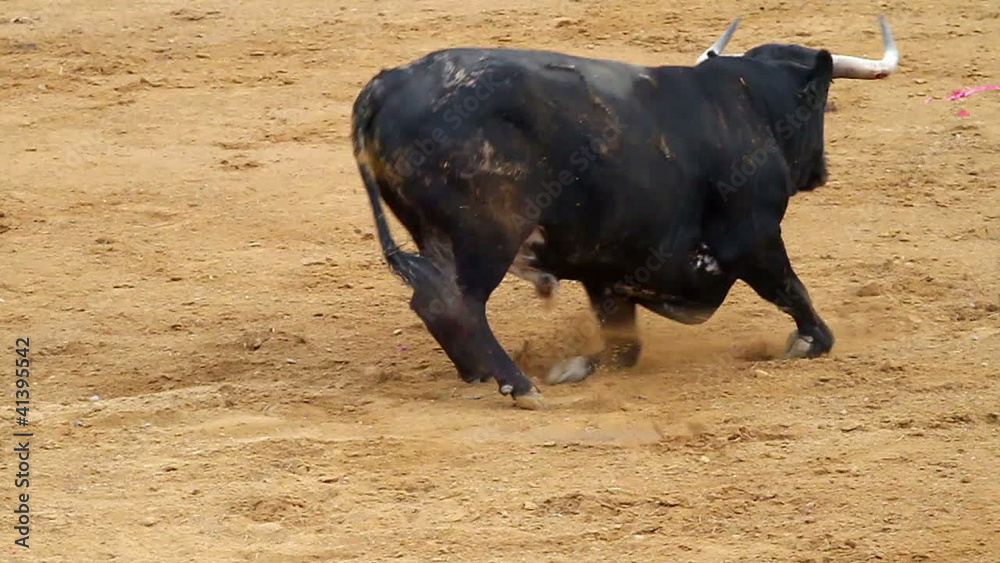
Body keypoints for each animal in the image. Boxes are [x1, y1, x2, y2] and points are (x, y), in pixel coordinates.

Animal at [350, 16, 899, 409]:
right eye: (820, 100)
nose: (819, 170)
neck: (746, 99)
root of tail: (384, 86)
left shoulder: (610, 265)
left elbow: (623, 345)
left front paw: (578, 366)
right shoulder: (753, 236)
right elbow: (794, 294)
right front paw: (804, 342)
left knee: (440, 305)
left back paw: (484, 372)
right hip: (484, 237)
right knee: (453, 304)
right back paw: (519, 386)